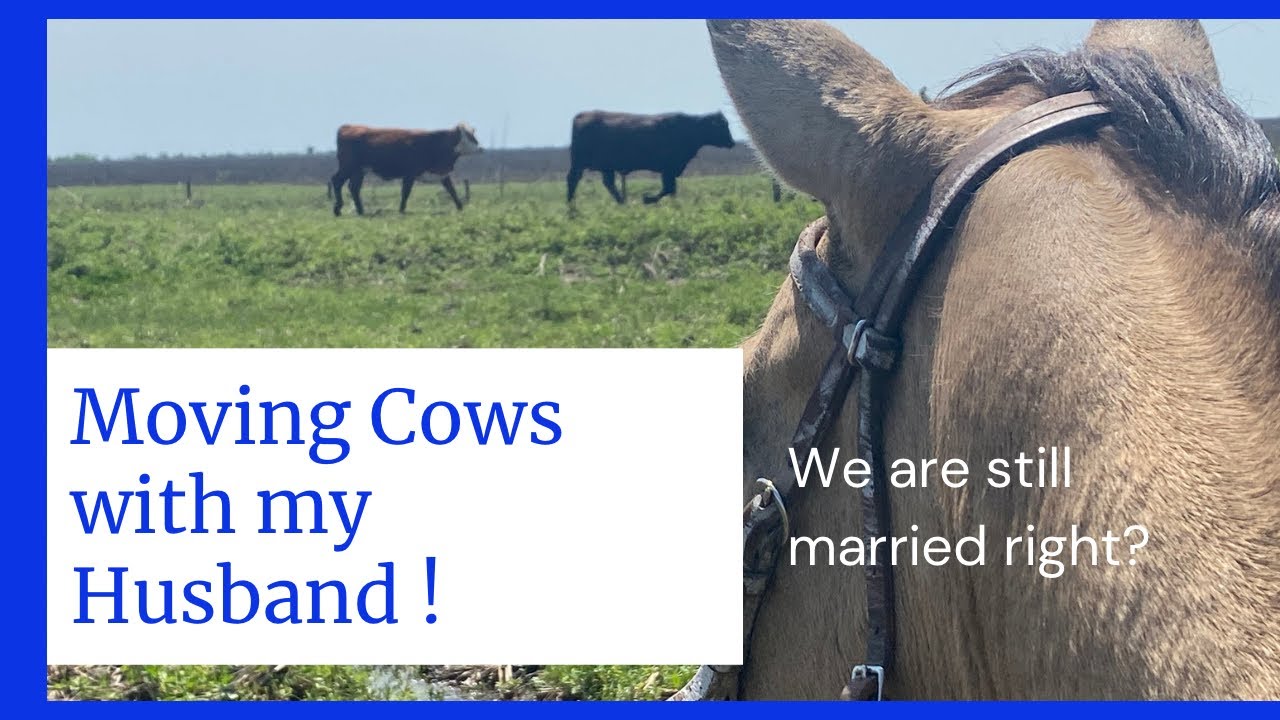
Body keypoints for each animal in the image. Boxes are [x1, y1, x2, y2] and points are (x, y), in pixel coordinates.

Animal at [330, 122, 481, 216]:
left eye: (473, 136)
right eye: (469, 136)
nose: (480, 148)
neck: (434, 143)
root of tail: (348, 127)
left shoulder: (442, 174)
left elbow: (452, 190)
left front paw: (460, 207)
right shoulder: (409, 174)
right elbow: (405, 193)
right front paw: (402, 210)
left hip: (359, 171)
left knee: (354, 188)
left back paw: (360, 210)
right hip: (347, 167)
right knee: (337, 181)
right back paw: (338, 209)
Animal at [566, 111, 735, 205]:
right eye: (721, 126)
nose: (732, 142)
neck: (689, 128)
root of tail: (582, 115)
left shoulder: (671, 170)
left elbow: (671, 190)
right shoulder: (668, 169)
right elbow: (667, 189)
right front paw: (647, 199)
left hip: (606, 167)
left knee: (609, 184)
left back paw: (622, 203)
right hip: (579, 163)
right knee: (573, 180)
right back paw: (571, 208)